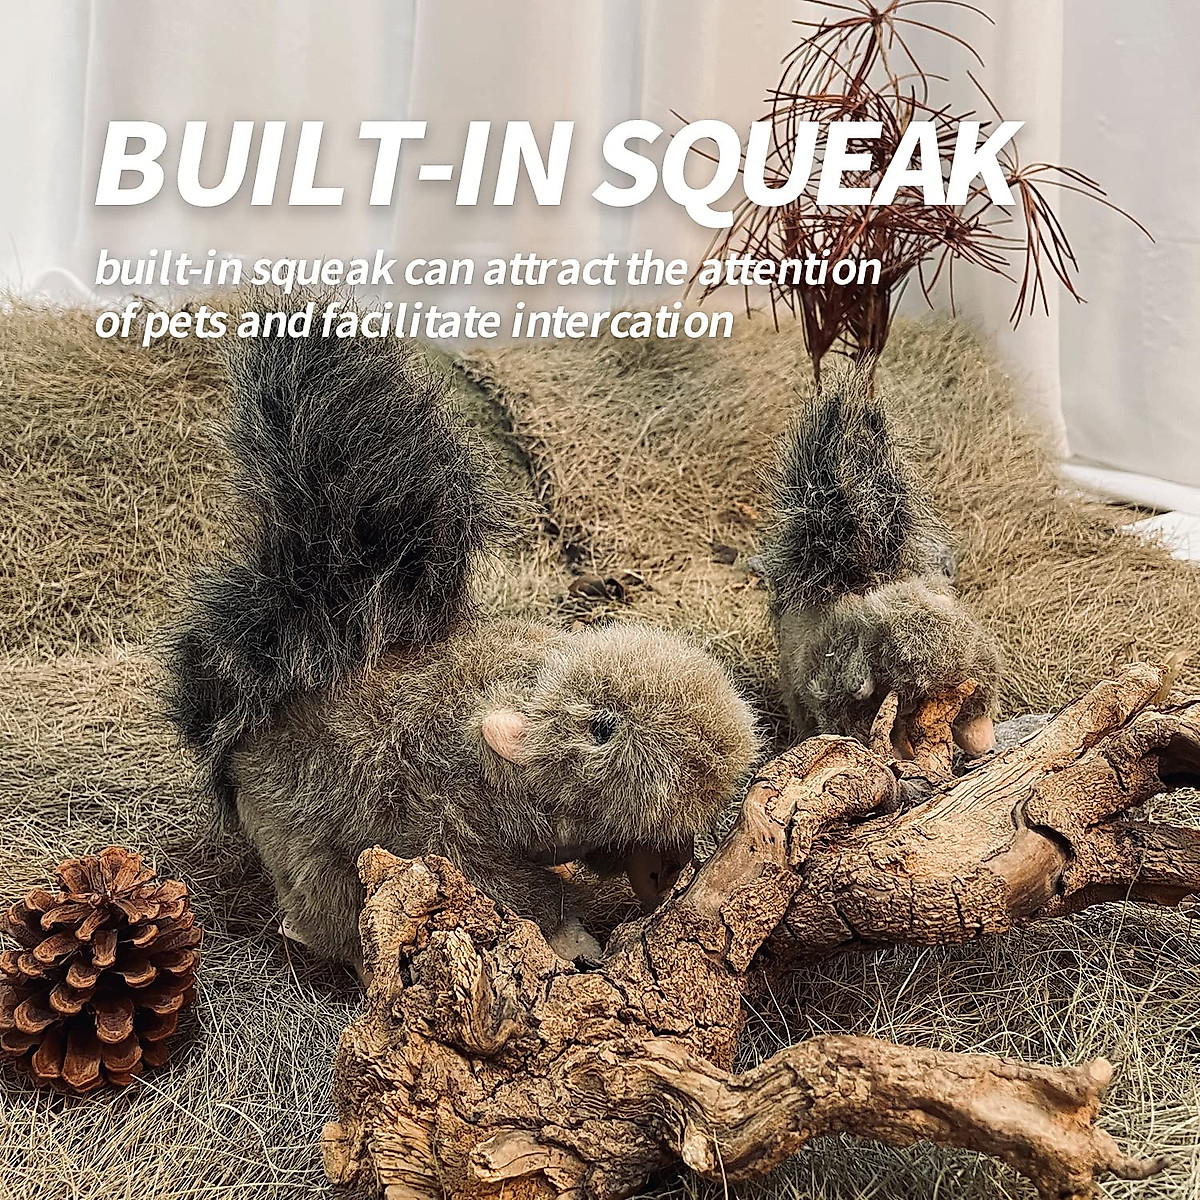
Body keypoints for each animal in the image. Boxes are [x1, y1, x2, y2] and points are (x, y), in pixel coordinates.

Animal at [162, 312, 759, 970]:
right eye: (601, 730)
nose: (720, 756)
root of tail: (245, 729)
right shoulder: (449, 828)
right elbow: (520, 894)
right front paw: (571, 942)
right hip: (314, 857)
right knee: (327, 913)